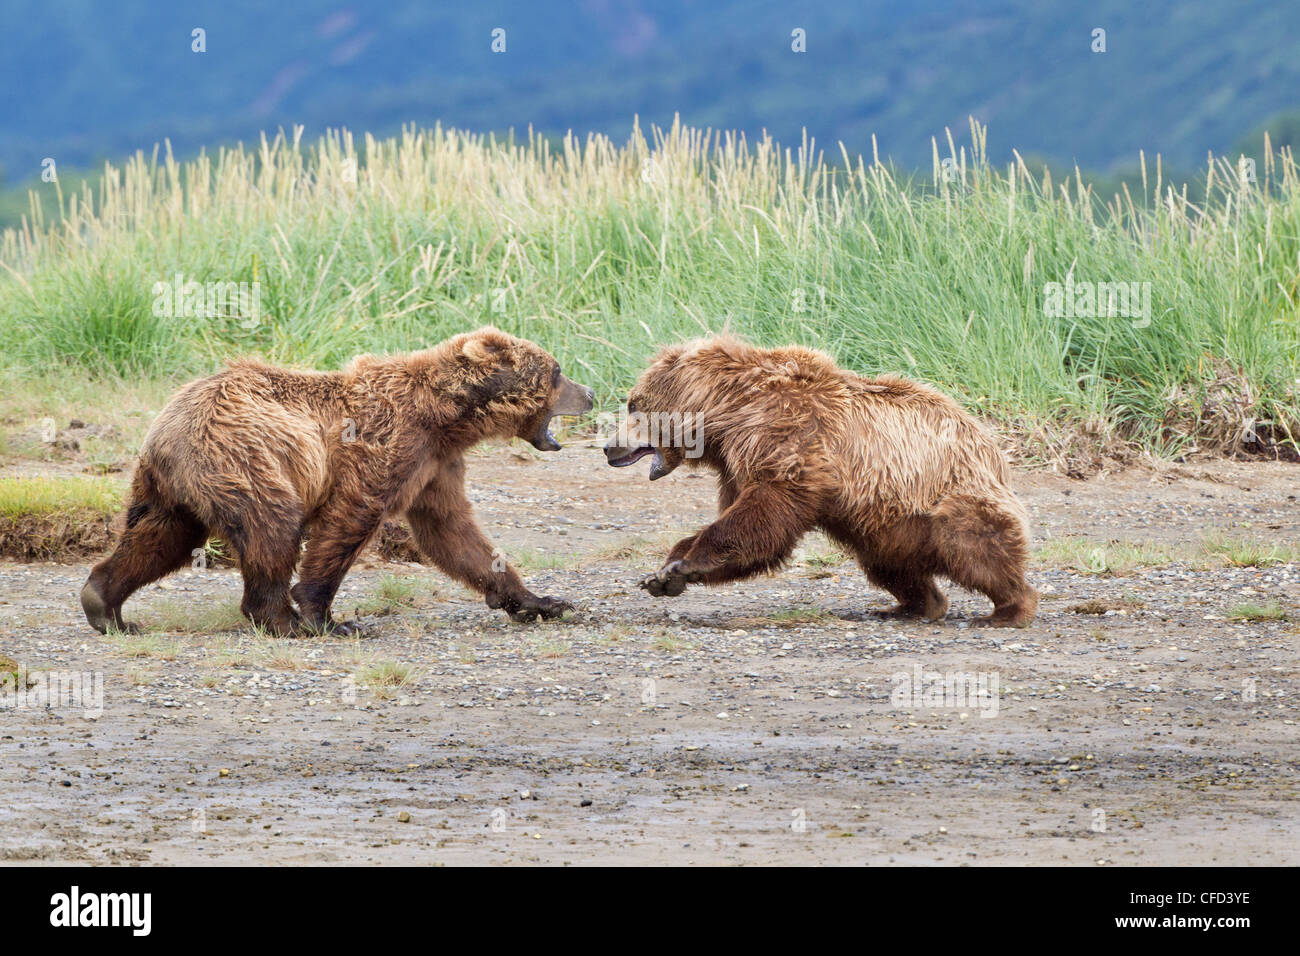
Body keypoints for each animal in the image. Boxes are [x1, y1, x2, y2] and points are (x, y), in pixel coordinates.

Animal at [81, 327, 594, 636]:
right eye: (557, 371)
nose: (590, 391)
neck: (446, 416)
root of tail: (163, 430)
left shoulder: (434, 464)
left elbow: (453, 531)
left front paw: (542, 600)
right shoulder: (388, 444)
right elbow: (351, 516)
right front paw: (324, 614)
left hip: (169, 490)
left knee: (158, 539)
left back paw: (106, 607)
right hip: (243, 456)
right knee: (272, 527)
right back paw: (281, 619)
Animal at [603, 335, 1038, 626]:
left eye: (633, 404)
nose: (608, 447)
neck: (728, 413)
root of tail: (991, 446)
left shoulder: (787, 438)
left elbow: (763, 516)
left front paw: (684, 565)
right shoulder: (737, 462)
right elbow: (744, 520)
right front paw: (665, 572)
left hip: (944, 497)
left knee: (975, 546)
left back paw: (1008, 609)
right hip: (889, 524)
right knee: (889, 566)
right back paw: (909, 606)